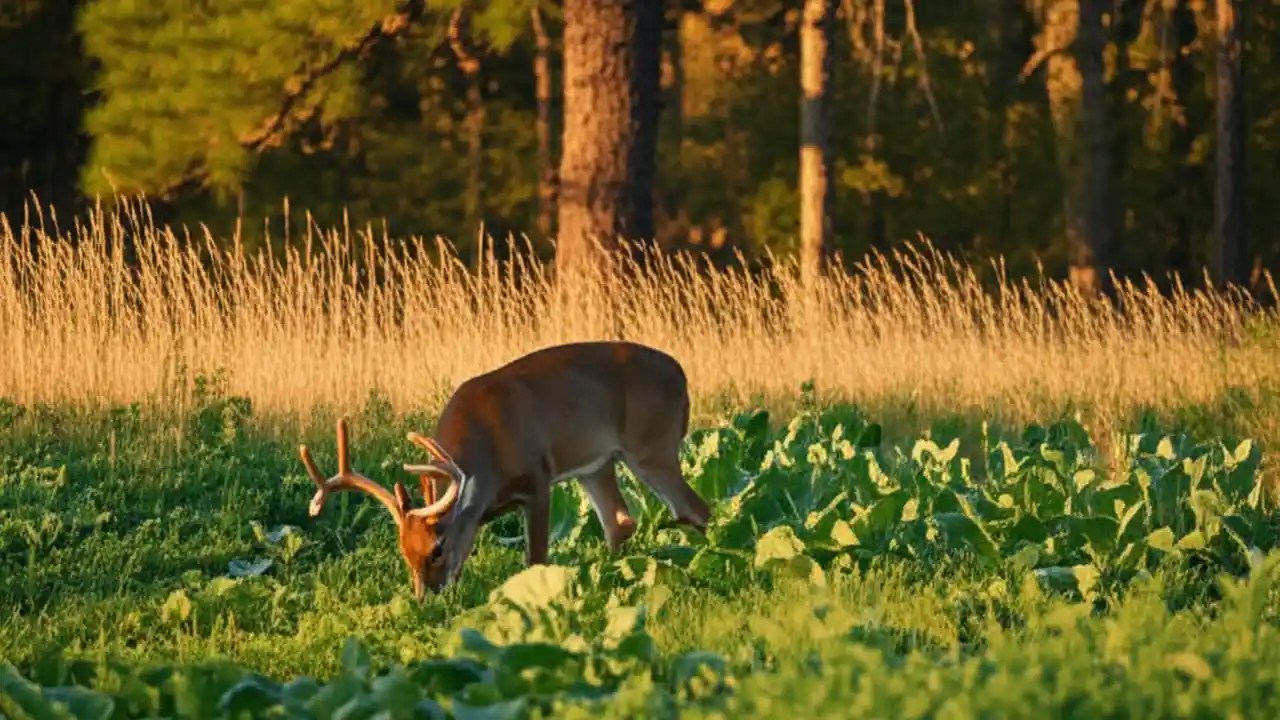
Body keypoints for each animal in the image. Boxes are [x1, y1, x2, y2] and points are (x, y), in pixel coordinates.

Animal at [296, 341, 712, 599]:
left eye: (436, 550)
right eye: (404, 553)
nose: (424, 600)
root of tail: (682, 374)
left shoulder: (538, 479)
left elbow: (535, 559)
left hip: (652, 446)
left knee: (695, 508)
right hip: (596, 466)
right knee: (620, 522)